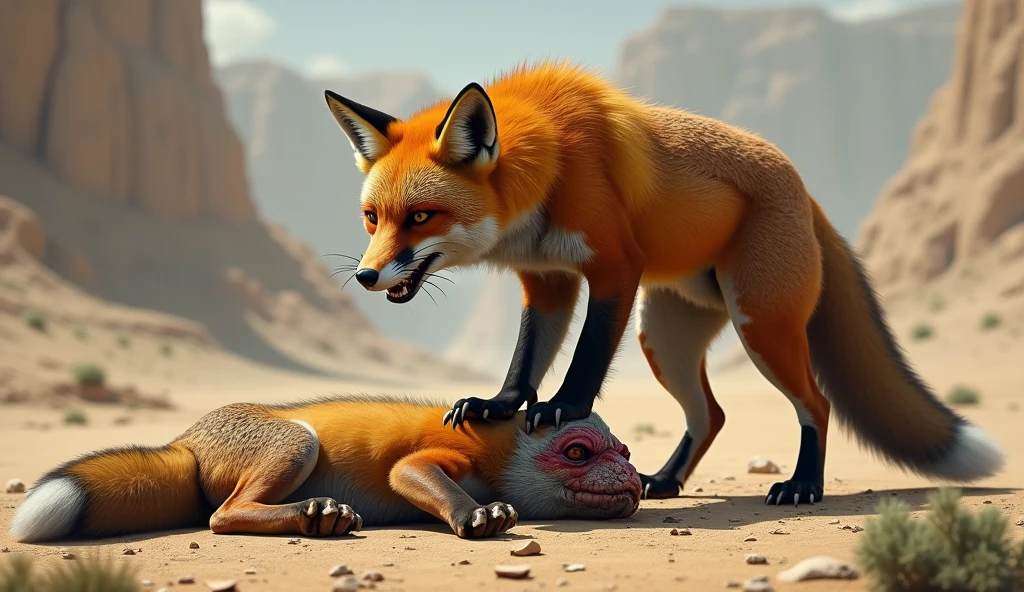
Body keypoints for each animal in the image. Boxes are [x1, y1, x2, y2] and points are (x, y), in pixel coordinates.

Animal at [323, 60, 1005, 506]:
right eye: (372, 217)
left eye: (420, 217)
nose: (365, 275)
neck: (550, 169)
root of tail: (802, 188)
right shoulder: (546, 280)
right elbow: (525, 360)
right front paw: (498, 404)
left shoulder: (614, 267)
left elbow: (585, 358)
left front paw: (564, 405)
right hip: (665, 341)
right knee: (713, 414)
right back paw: (667, 481)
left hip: (762, 327)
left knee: (817, 403)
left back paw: (803, 485)